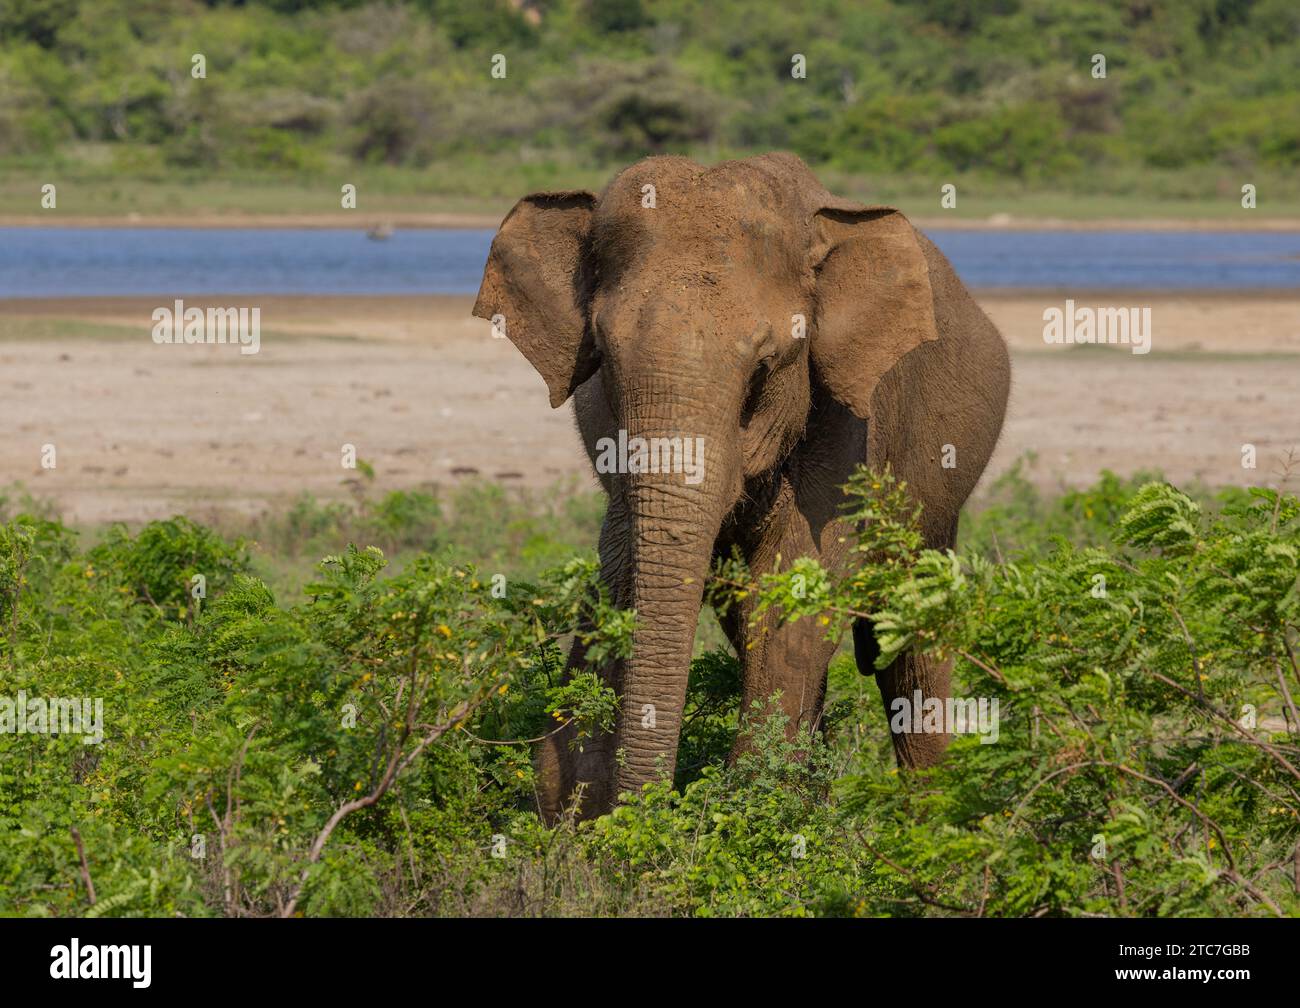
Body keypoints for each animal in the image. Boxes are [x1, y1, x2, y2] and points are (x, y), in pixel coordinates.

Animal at [473, 152, 1010, 820]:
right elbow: (623, 565)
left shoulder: (850, 419)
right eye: (606, 358)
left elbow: (789, 595)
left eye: (763, 369)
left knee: (910, 630)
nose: (632, 808)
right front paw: (572, 797)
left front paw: (753, 808)